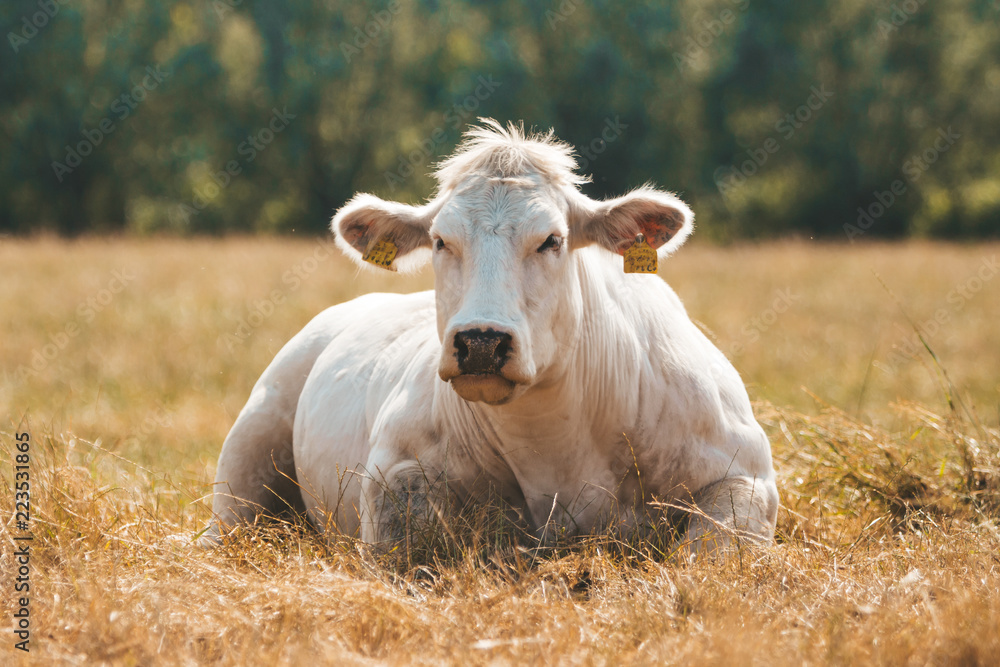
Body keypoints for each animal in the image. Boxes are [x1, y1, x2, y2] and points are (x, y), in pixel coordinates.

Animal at [202, 120, 778, 551]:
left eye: (552, 240)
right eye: (440, 240)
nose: (481, 341)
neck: (556, 447)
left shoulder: (746, 475)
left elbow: (707, 555)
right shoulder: (396, 471)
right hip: (248, 450)